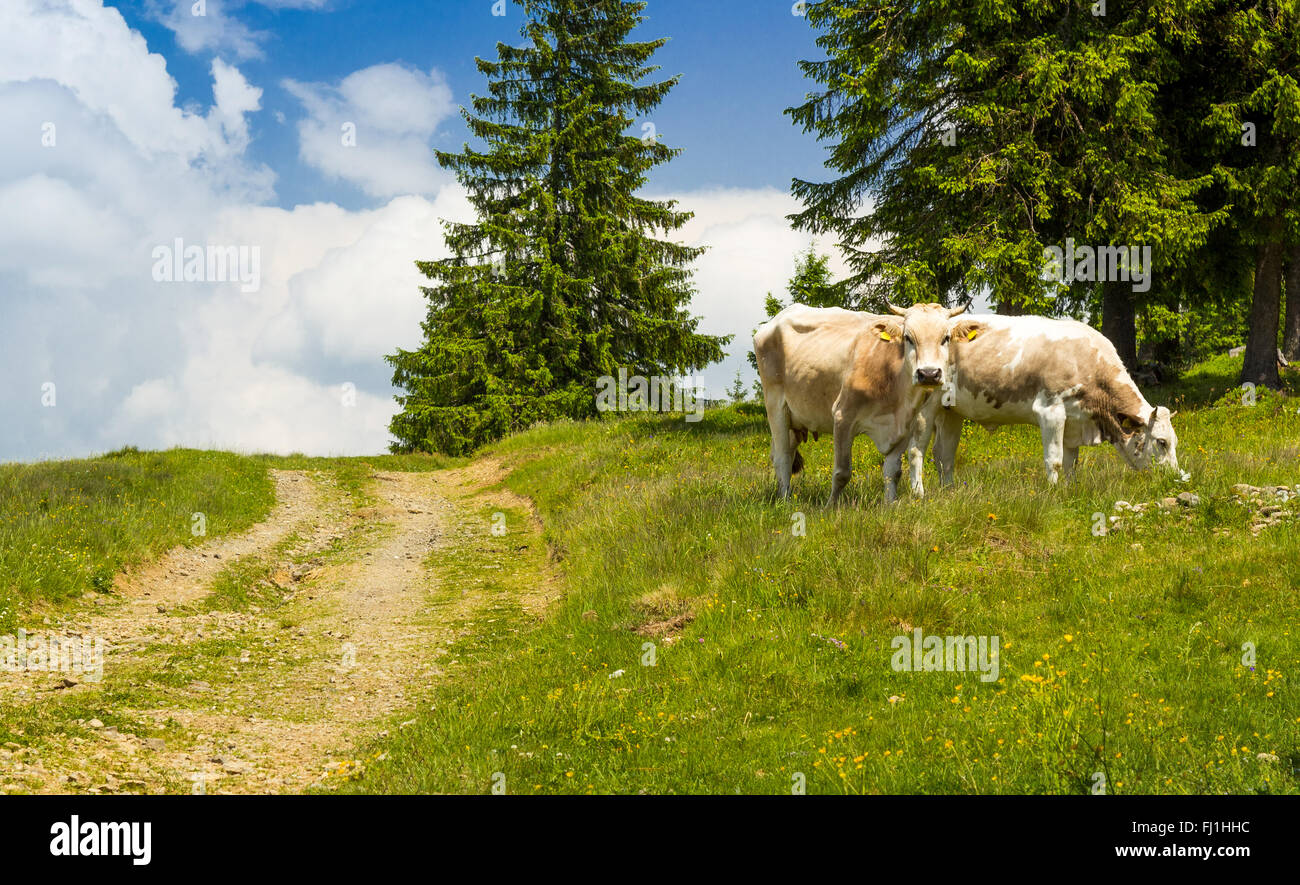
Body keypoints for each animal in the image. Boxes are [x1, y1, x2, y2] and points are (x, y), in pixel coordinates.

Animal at [753, 302, 965, 505]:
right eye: (908, 338)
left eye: (946, 338)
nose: (928, 374)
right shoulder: (843, 416)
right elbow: (842, 472)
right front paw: (831, 506)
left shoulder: (905, 424)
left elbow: (893, 472)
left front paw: (890, 504)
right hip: (776, 405)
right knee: (782, 458)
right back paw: (785, 501)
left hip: (796, 419)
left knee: (786, 455)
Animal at [910, 314, 1180, 485]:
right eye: (1161, 442)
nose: (1175, 477)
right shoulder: (1051, 411)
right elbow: (1055, 460)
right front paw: (1053, 493)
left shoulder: (1075, 421)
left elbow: (1071, 463)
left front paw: (1069, 490)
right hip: (925, 405)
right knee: (916, 450)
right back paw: (918, 494)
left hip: (950, 411)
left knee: (944, 455)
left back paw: (949, 491)